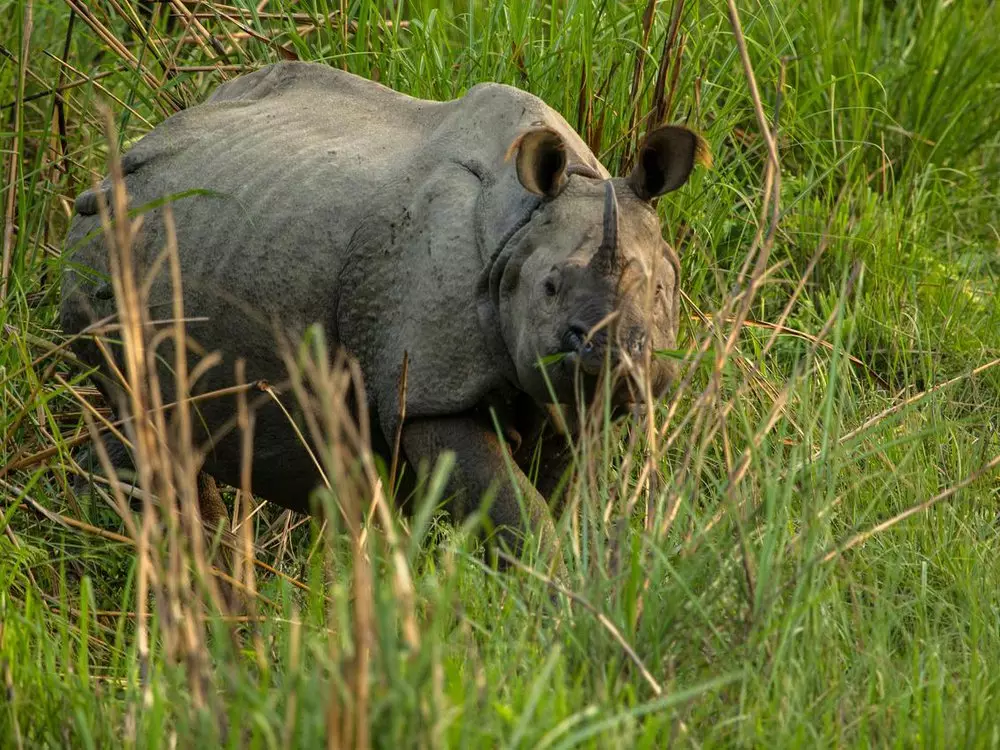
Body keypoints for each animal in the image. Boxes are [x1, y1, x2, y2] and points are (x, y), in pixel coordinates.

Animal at [62, 63, 708, 560]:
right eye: (549, 287)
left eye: (661, 291)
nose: (612, 353)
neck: (522, 229)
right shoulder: (425, 389)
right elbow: (515, 511)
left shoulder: (568, 399)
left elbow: (555, 493)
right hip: (111, 243)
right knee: (142, 417)